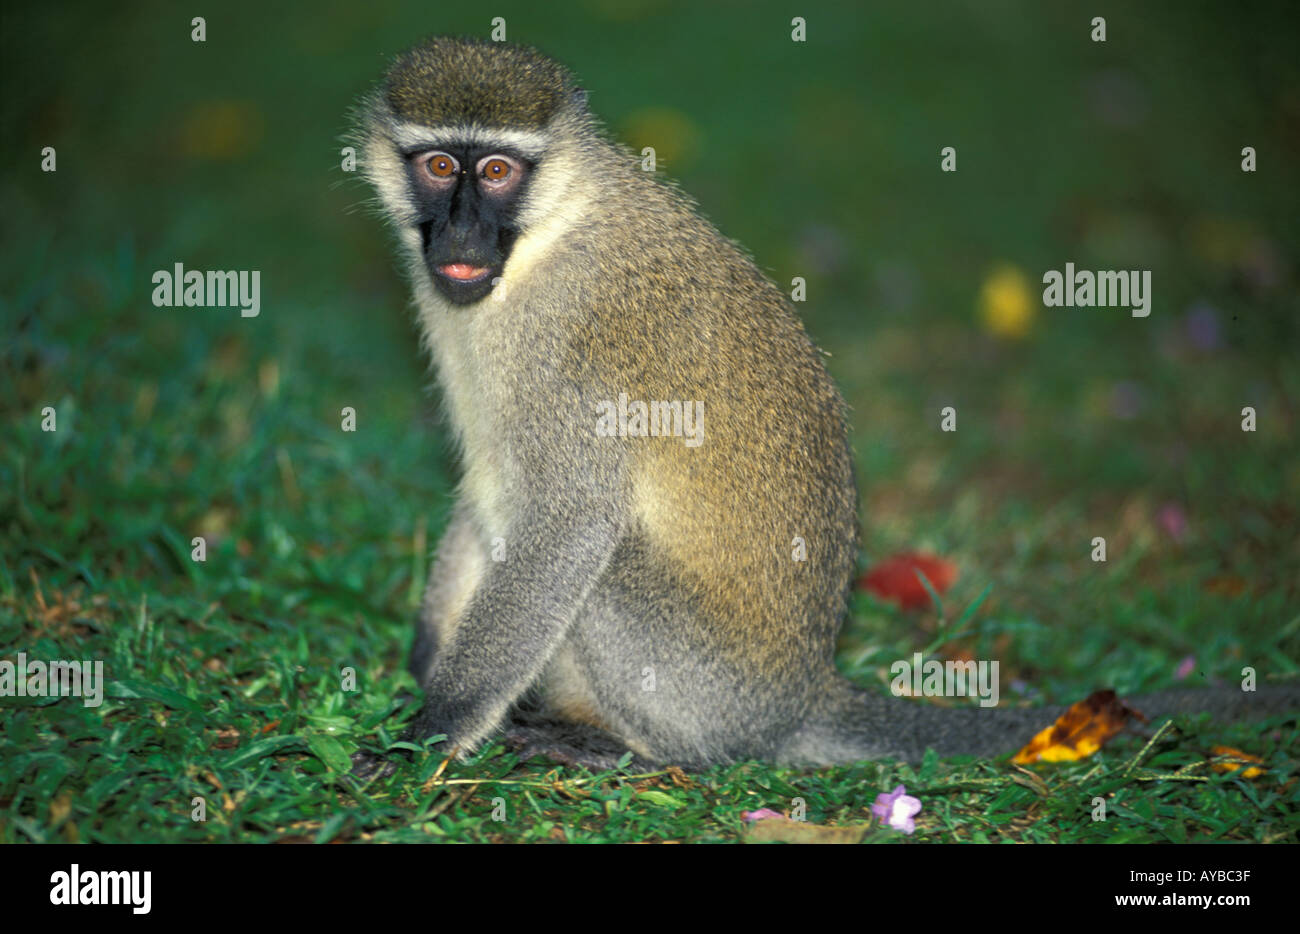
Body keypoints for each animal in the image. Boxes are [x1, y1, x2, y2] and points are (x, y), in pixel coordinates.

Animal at [350, 37, 1298, 776]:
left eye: (497, 172)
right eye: (440, 166)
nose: (463, 233)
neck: (547, 235)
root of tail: (802, 694)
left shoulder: (574, 346)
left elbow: (569, 525)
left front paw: (432, 729)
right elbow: (486, 491)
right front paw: (425, 665)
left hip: (705, 684)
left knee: (614, 582)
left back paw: (644, 751)